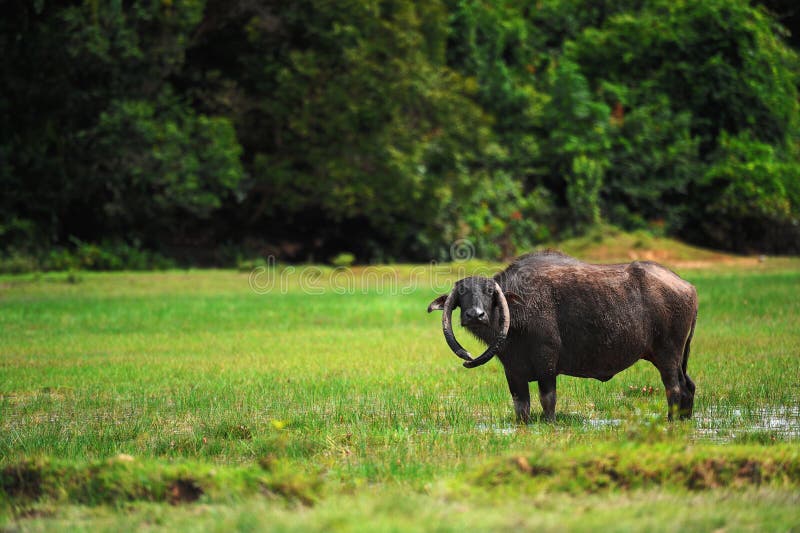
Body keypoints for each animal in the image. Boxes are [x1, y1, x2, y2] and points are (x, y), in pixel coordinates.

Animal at [428, 250, 698, 422]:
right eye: (462, 293)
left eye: (489, 292)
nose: (475, 315)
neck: (518, 319)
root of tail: (688, 287)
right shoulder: (513, 371)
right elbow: (521, 408)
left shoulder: (547, 364)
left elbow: (548, 401)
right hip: (675, 357)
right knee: (688, 386)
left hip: (667, 354)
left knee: (674, 389)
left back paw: (670, 420)